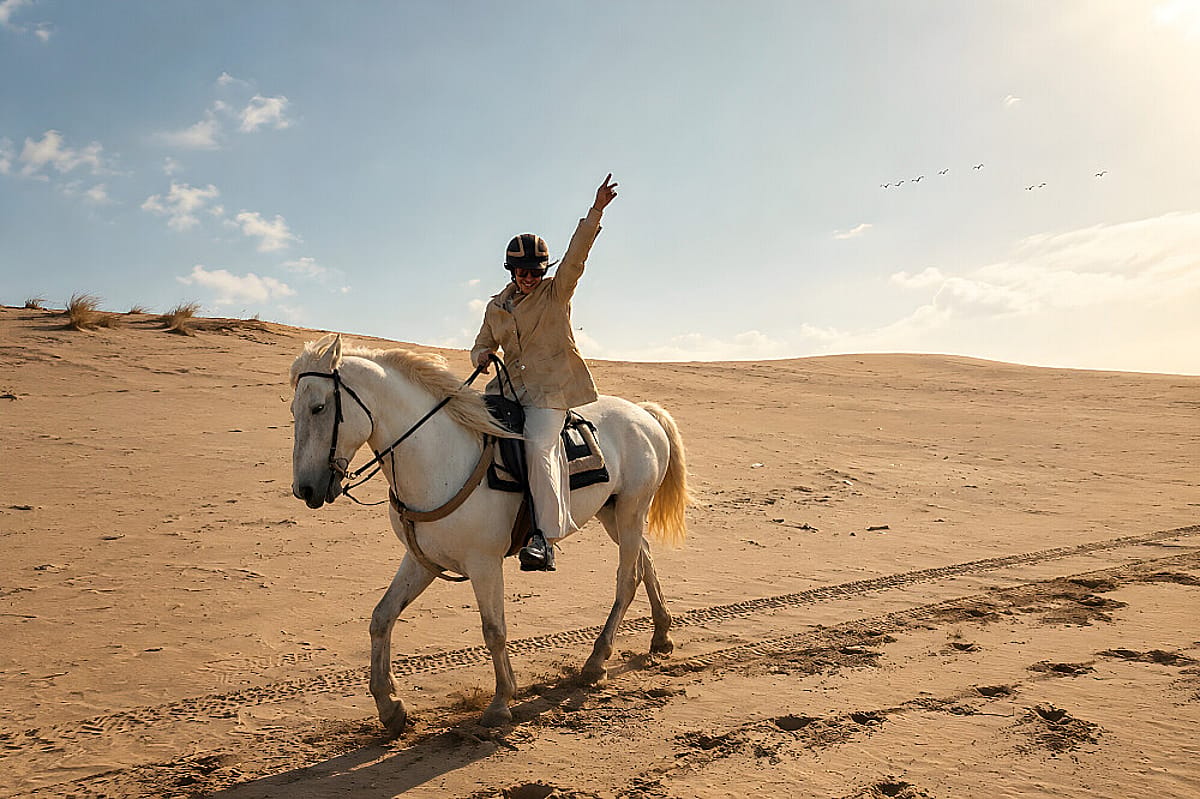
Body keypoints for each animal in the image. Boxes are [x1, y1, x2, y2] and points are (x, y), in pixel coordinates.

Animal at [289, 333, 690, 732]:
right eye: (294, 410)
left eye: (319, 408)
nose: (304, 489)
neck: (440, 457)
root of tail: (643, 413)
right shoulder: (420, 561)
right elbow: (381, 617)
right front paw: (389, 706)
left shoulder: (484, 563)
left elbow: (494, 630)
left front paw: (500, 702)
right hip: (613, 514)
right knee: (645, 560)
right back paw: (661, 635)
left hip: (631, 510)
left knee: (628, 578)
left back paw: (597, 661)